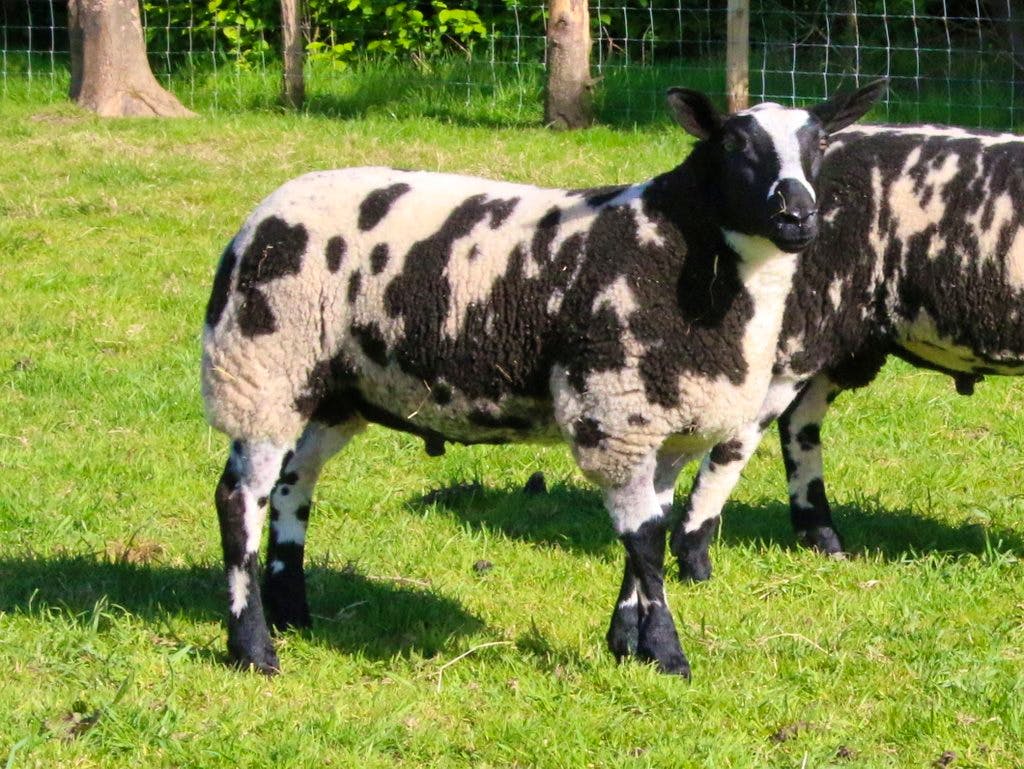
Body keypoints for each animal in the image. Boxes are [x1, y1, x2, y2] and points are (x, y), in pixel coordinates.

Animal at [201, 83, 883, 677]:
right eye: (736, 146)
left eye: (820, 142)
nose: (797, 216)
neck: (680, 248)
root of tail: (259, 217)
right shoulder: (616, 411)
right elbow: (645, 541)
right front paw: (667, 655)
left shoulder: (661, 426)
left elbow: (648, 535)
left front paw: (625, 643)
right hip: (260, 367)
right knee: (239, 500)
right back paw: (253, 647)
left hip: (331, 390)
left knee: (293, 487)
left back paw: (293, 613)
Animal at [672, 121, 1024, 582]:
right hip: (800, 317)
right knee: (739, 437)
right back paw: (693, 556)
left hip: (841, 337)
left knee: (798, 423)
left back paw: (822, 538)